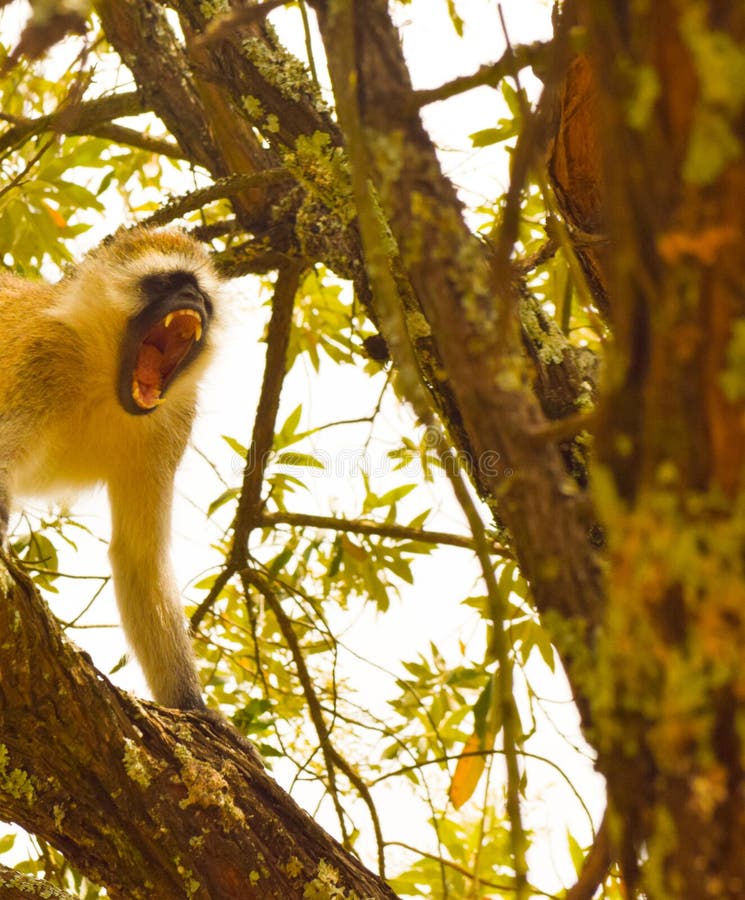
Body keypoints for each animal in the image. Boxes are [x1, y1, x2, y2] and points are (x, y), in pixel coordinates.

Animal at [0, 227, 223, 710]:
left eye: (201, 294)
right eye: (165, 283)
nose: (191, 298)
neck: (103, 377)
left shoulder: (173, 423)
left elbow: (139, 556)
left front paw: (192, 706)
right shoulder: (44, 358)